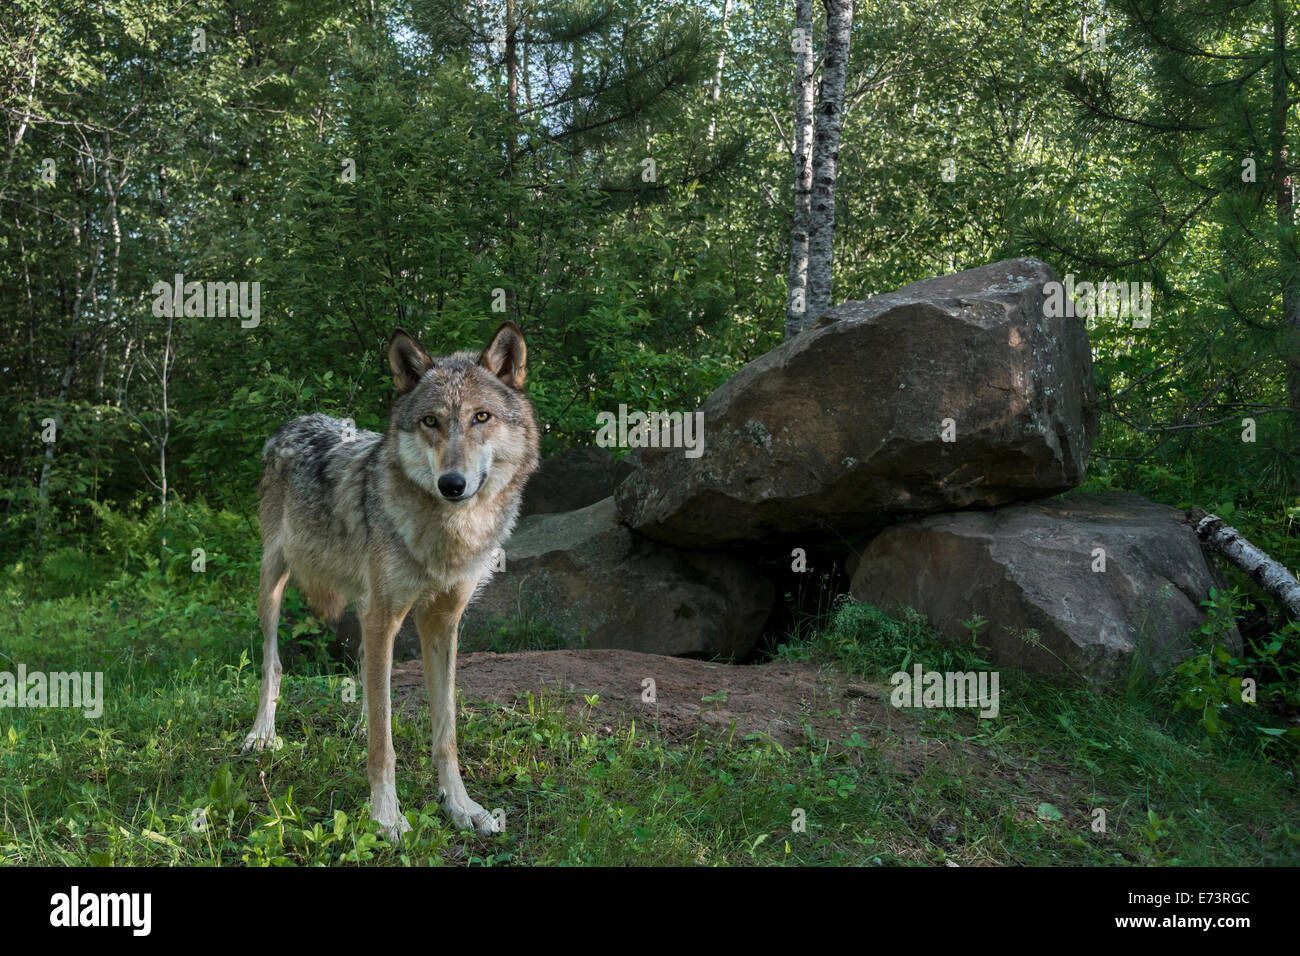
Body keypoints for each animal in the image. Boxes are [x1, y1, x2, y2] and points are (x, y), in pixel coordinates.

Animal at [242, 322, 539, 840]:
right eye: (430, 422)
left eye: (481, 417)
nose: (452, 484)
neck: (448, 532)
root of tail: (297, 420)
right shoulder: (385, 615)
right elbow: (385, 746)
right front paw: (385, 816)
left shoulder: (441, 623)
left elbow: (445, 734)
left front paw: (462, 807)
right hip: (274, 584)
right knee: (273, 663)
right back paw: (263, 734)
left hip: (365, 607)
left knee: (365, 666)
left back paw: (360, 723)